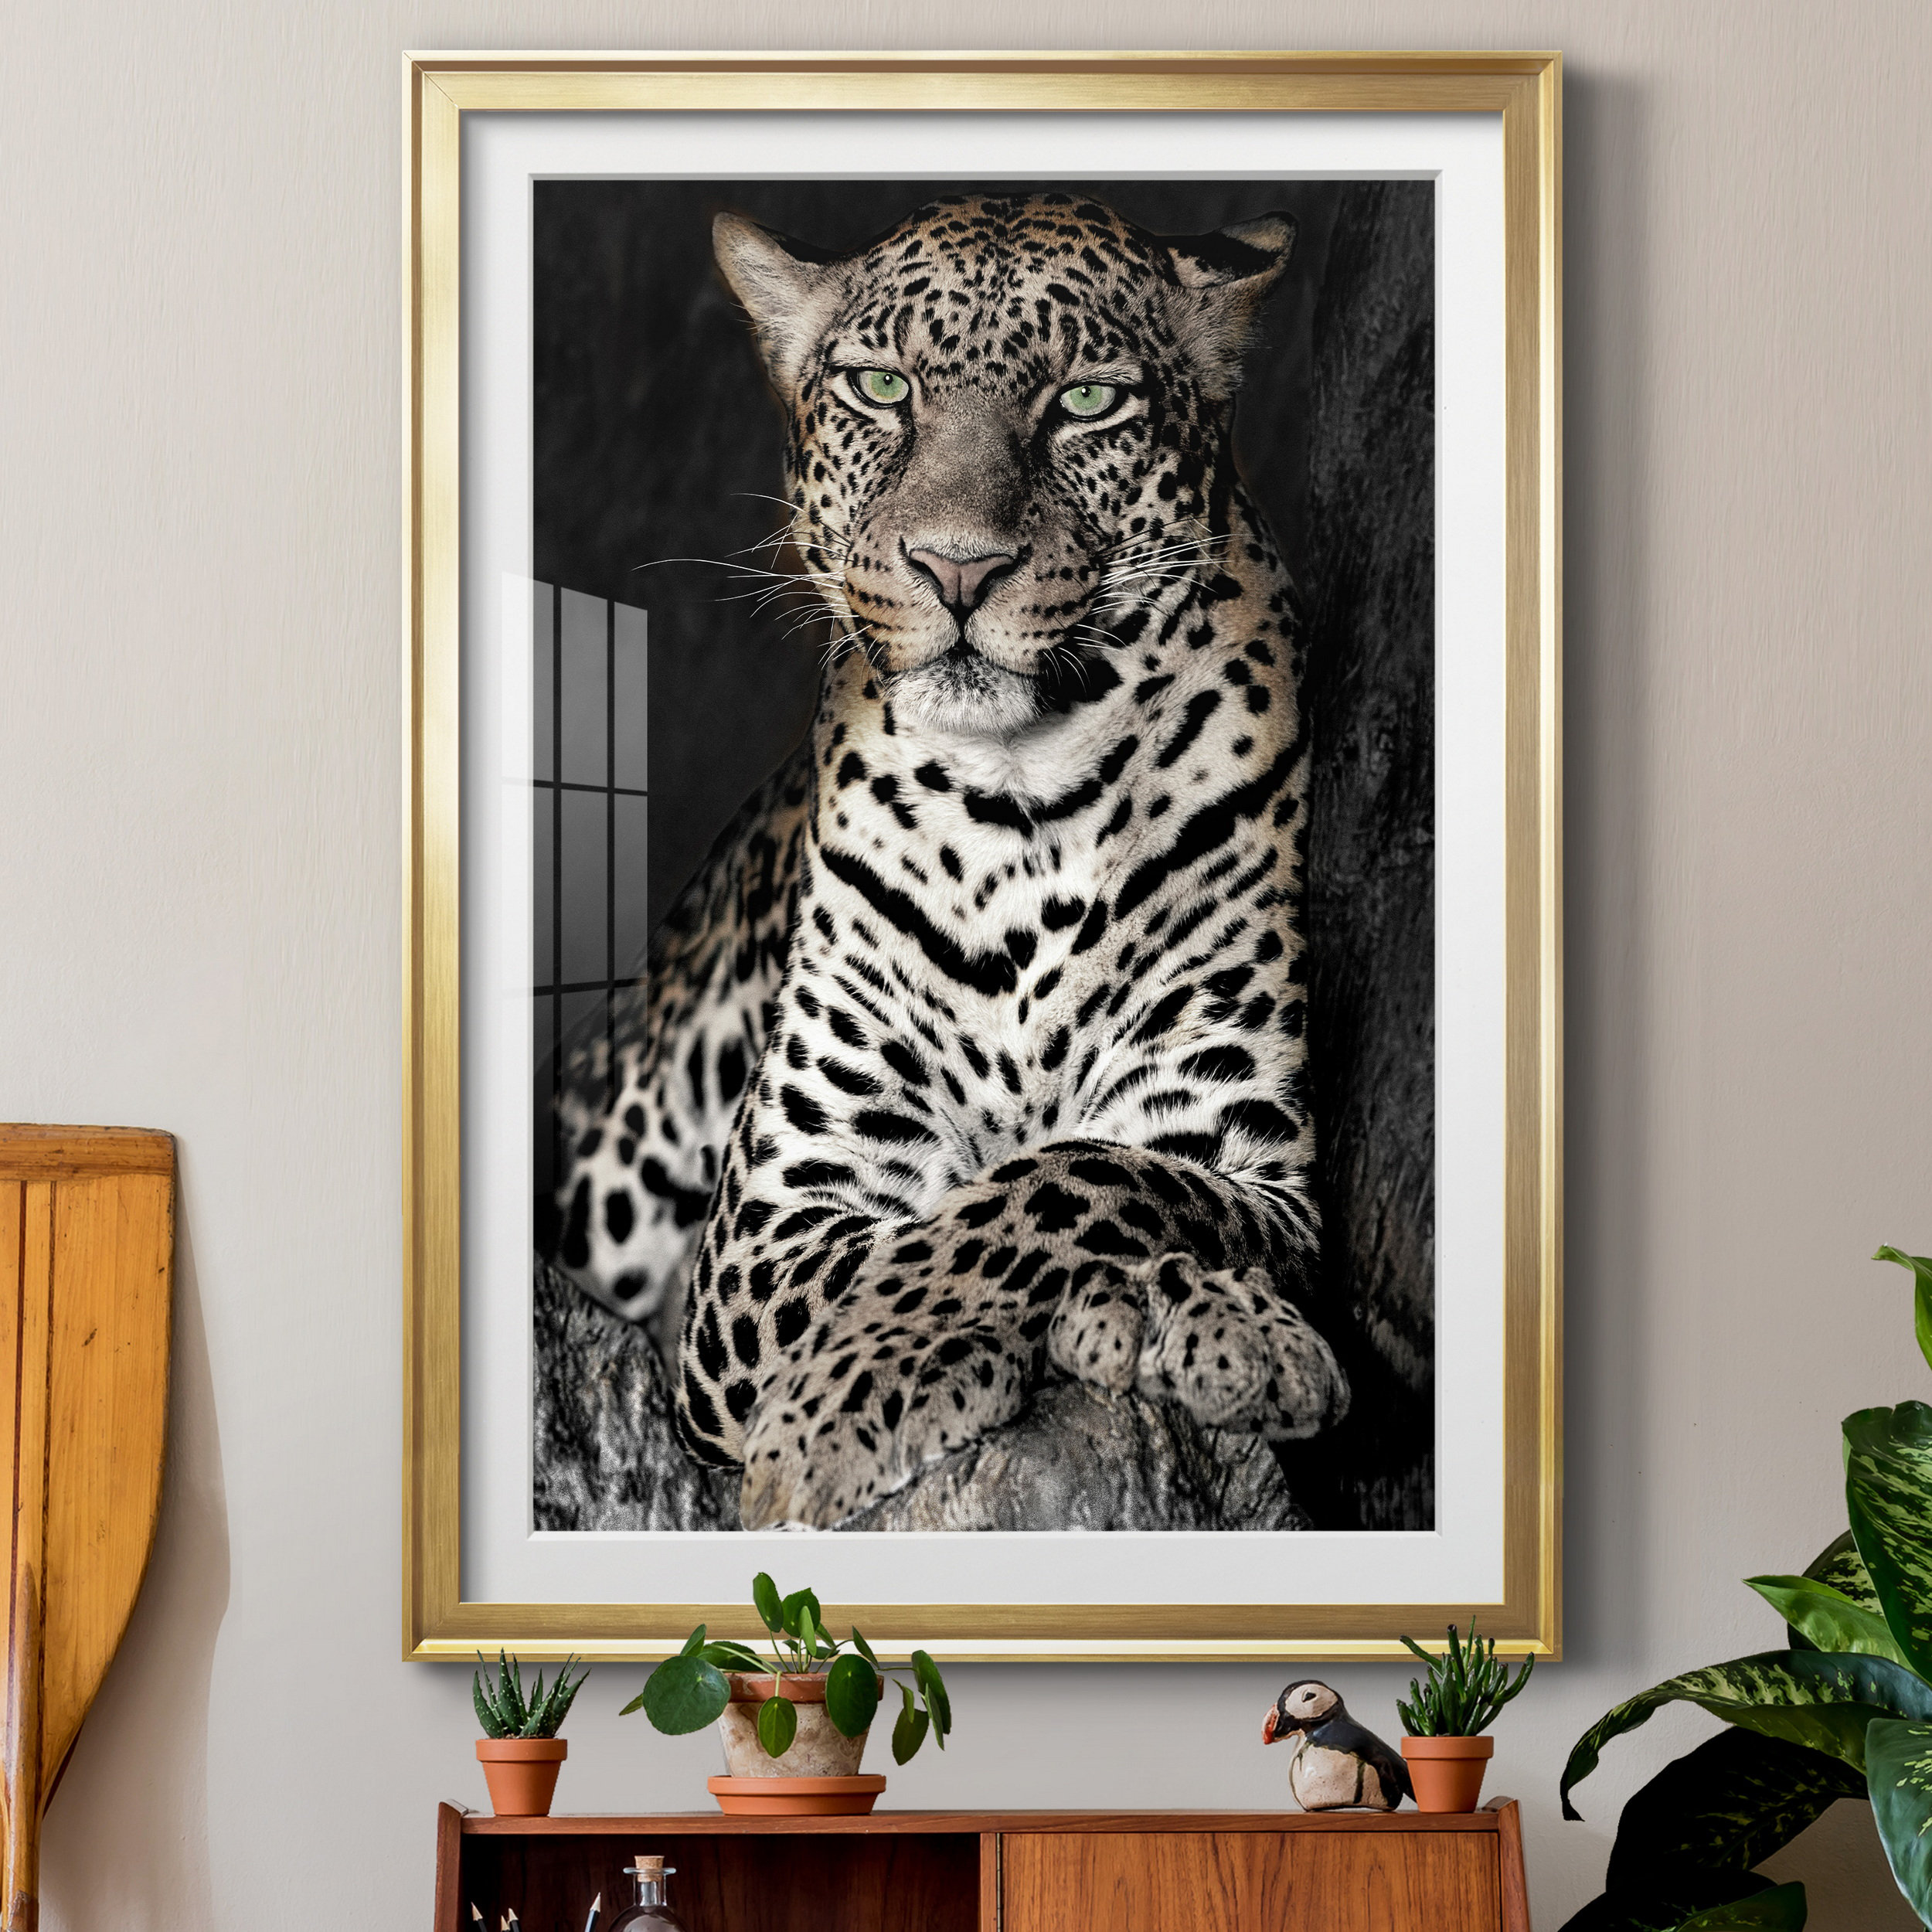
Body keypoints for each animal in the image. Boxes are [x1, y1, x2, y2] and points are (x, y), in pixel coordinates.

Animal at [550, 192, 1350, 1529]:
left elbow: (1079, 1179)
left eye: (1087, 401)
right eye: (884, 388)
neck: (1027, 801)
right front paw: (837, 1412)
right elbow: (940, 1234)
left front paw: (1212, 1319)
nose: (959, 567)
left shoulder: (1245, 1151)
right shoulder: (774, 1223)